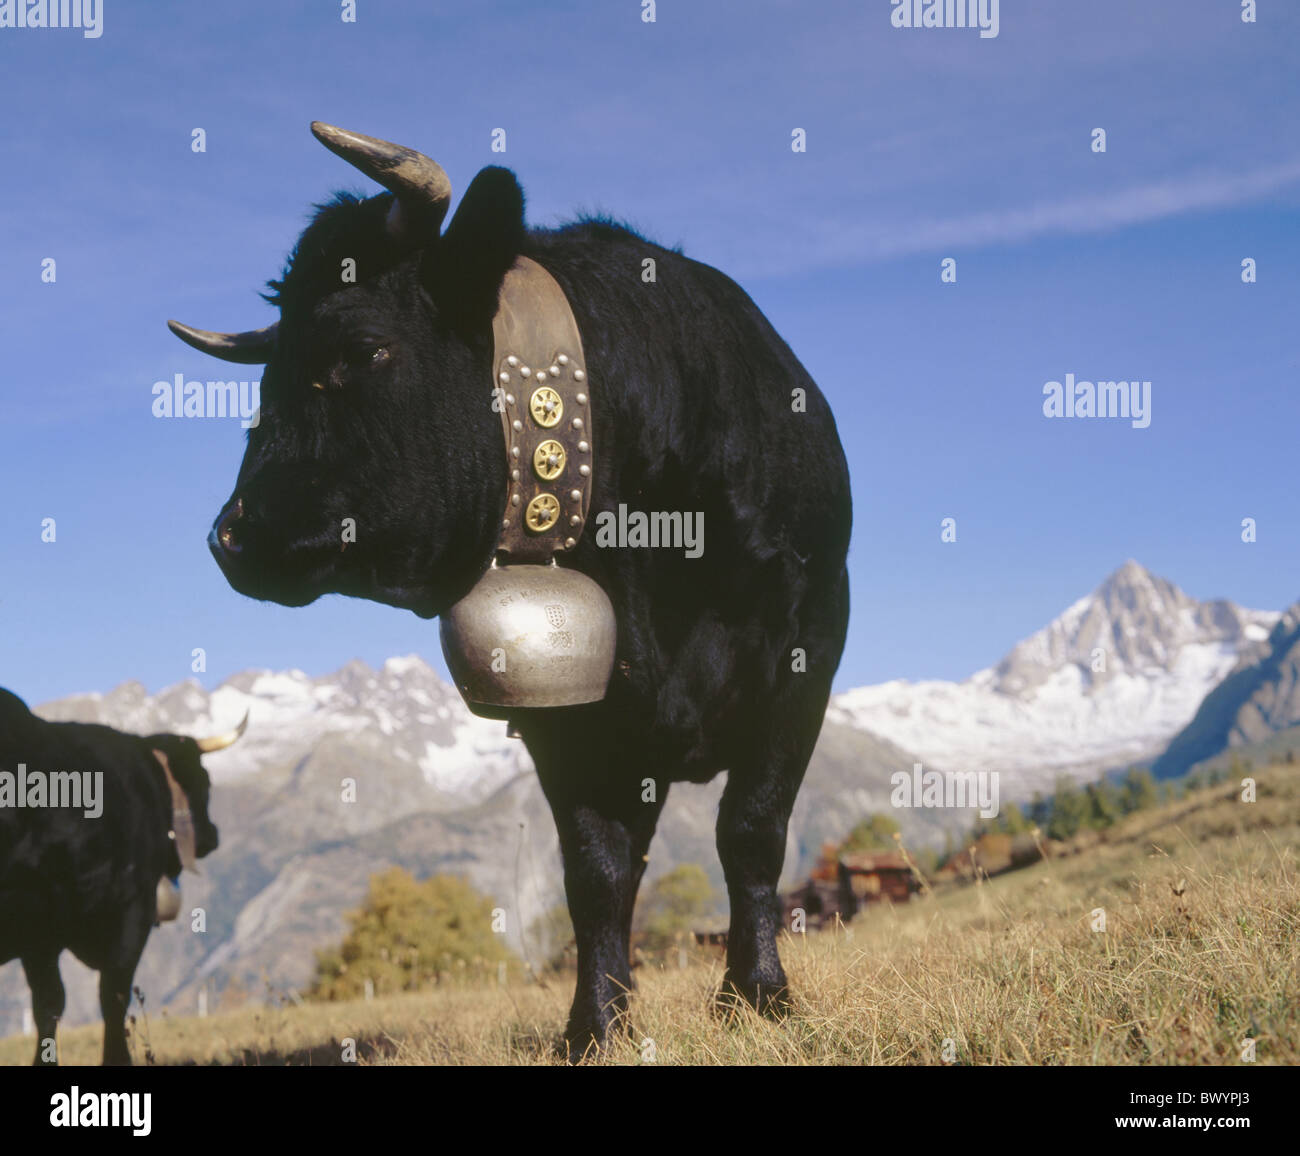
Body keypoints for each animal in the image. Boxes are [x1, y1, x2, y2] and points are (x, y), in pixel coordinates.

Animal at [0, 687, 240, 1064]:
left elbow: (48, 1005)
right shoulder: (133, 907)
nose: (212, 835)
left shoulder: (41, 934)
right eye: (205, 781)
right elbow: (113, 995)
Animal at [169, 123, 851, 1056]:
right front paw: (596, 1025)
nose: (229, 535)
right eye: (266, 379)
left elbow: (751, 831)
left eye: (362, 350)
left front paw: (758, 997)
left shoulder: (807, 646)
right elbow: (596, 872)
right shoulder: (563, 715)